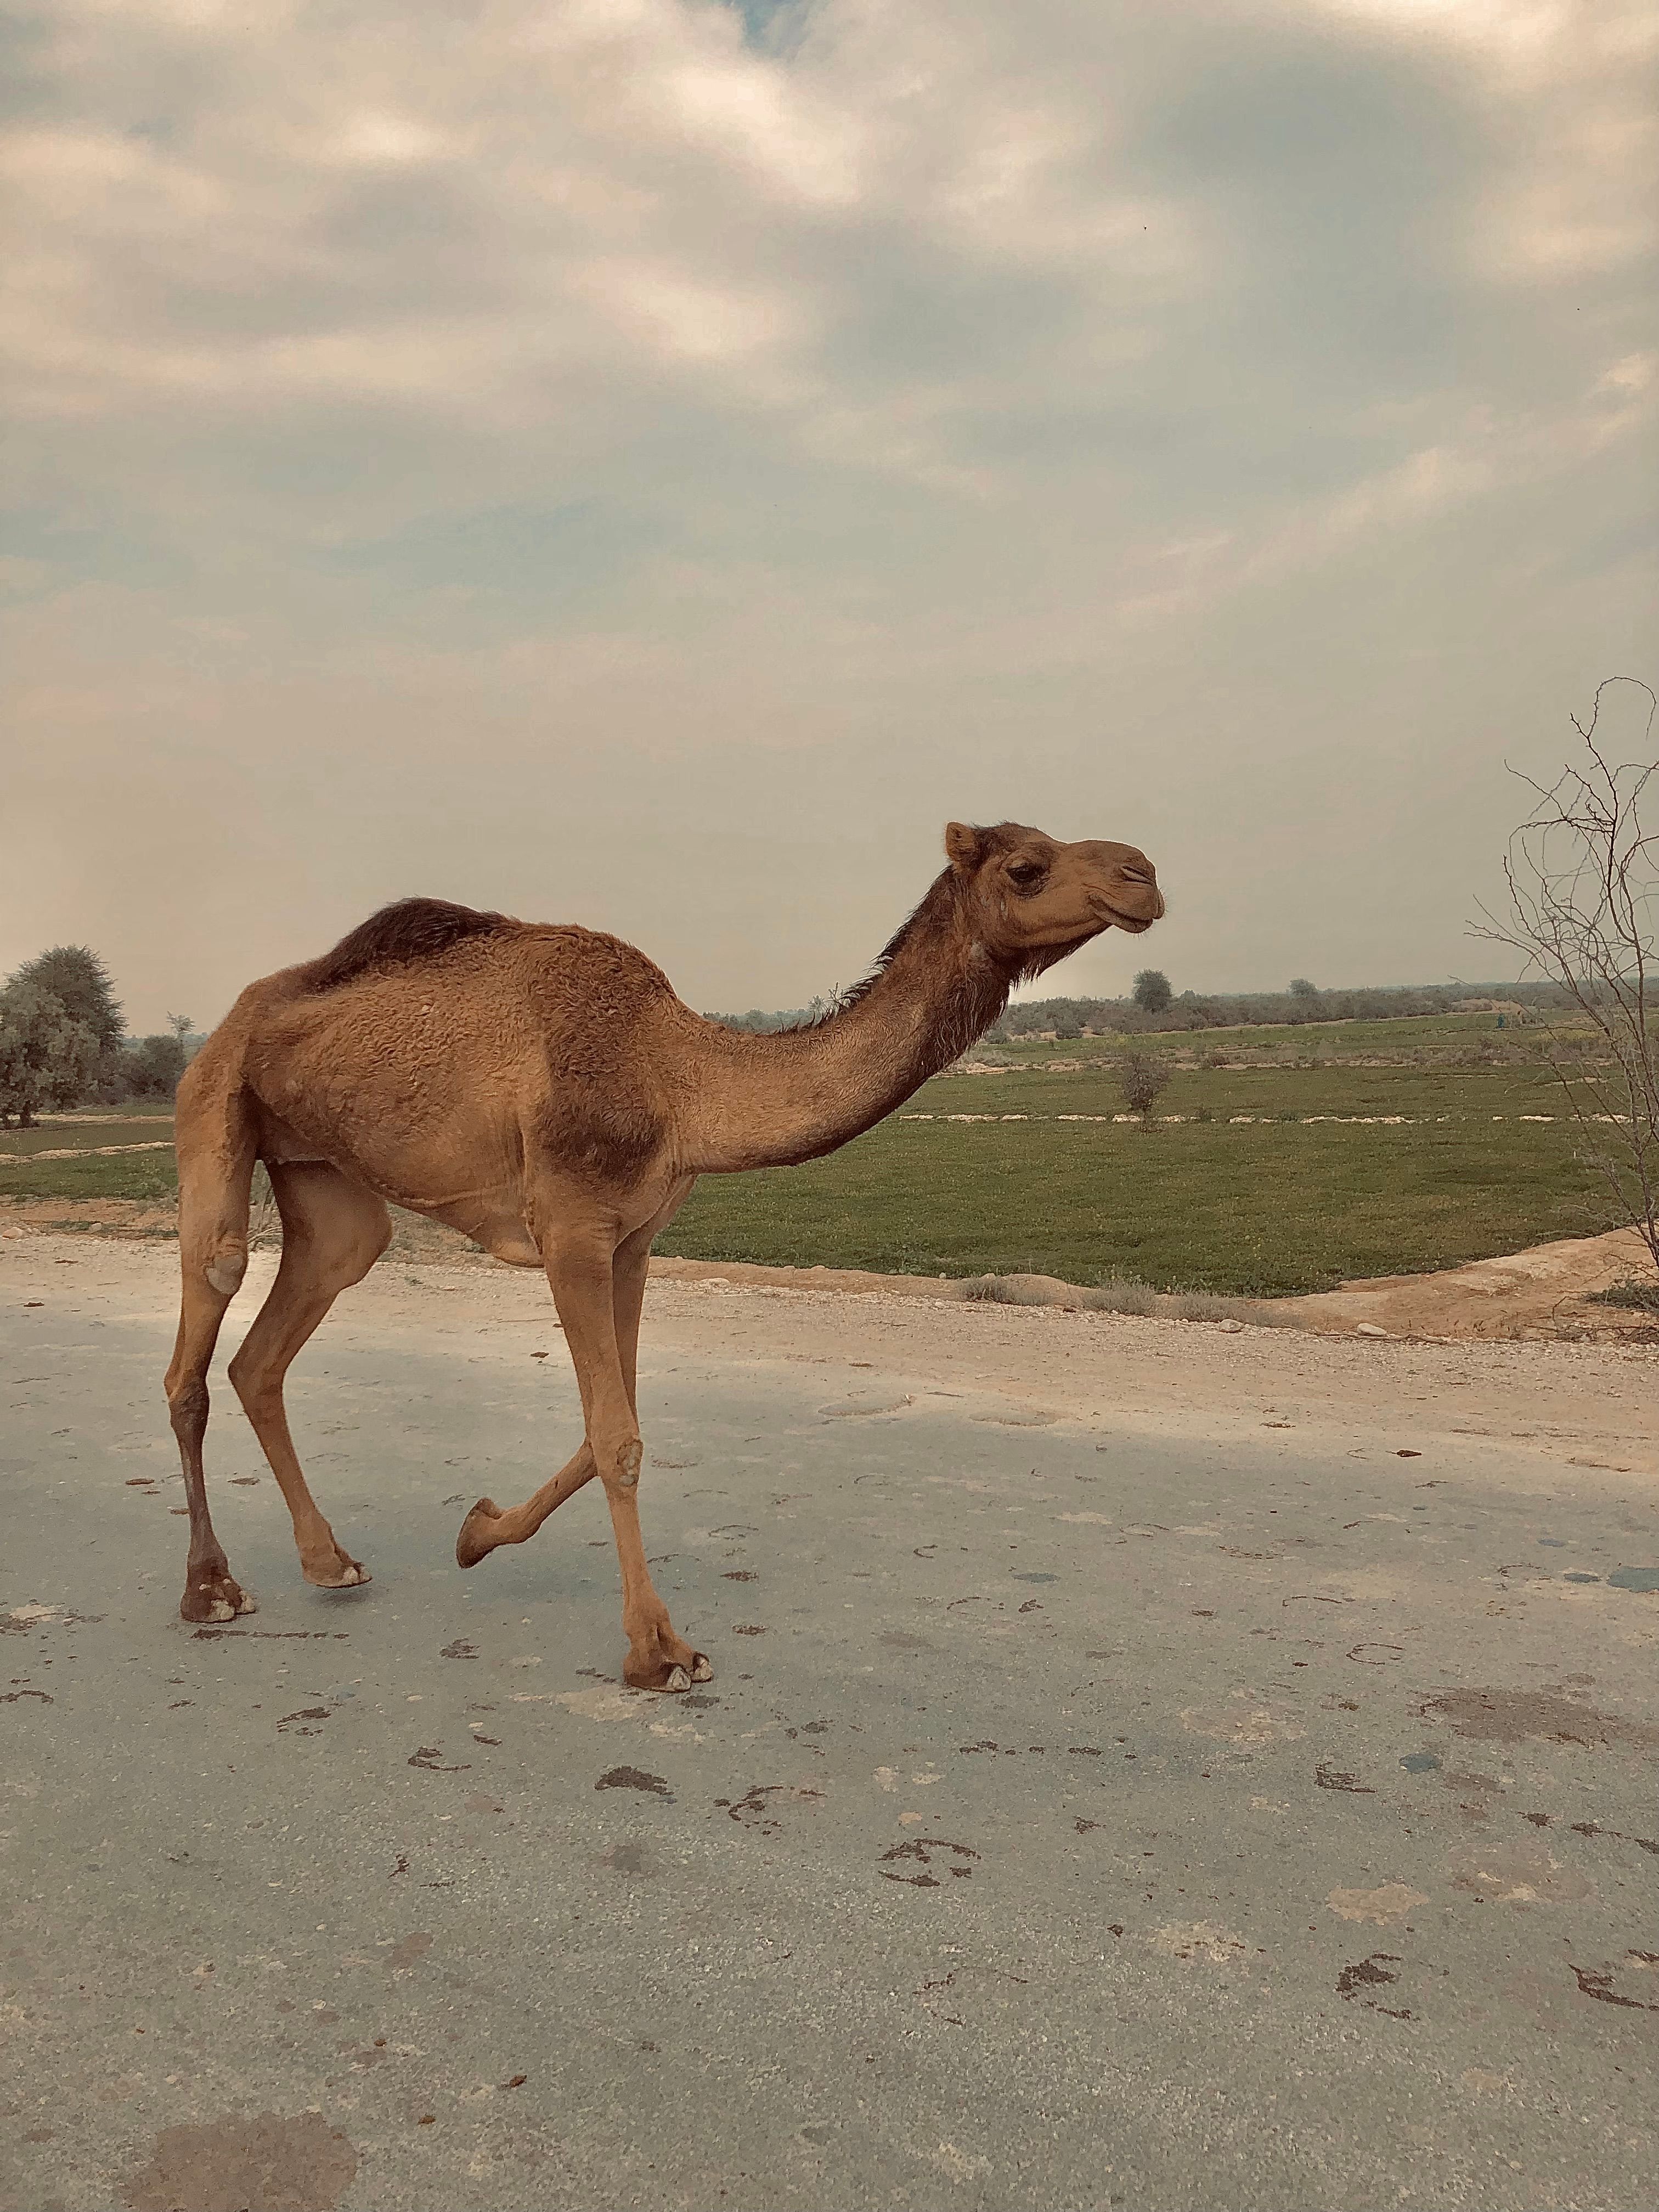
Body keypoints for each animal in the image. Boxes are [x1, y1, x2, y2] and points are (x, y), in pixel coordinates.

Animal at [164, 821, 1163, 1689]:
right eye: (1027, 866)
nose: (1142, 874)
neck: (678, 1080)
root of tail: (236, 1014)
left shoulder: (634, 1241)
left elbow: (615, 1421)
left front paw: (476, 1531)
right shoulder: (570, 1230)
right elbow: (618, 1435)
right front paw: (660, 1651)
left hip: (323, 1179)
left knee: (275, 1340)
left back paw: (328, 1561)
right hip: (214, 1100)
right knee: (204, 1320)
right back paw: (211, 1589)